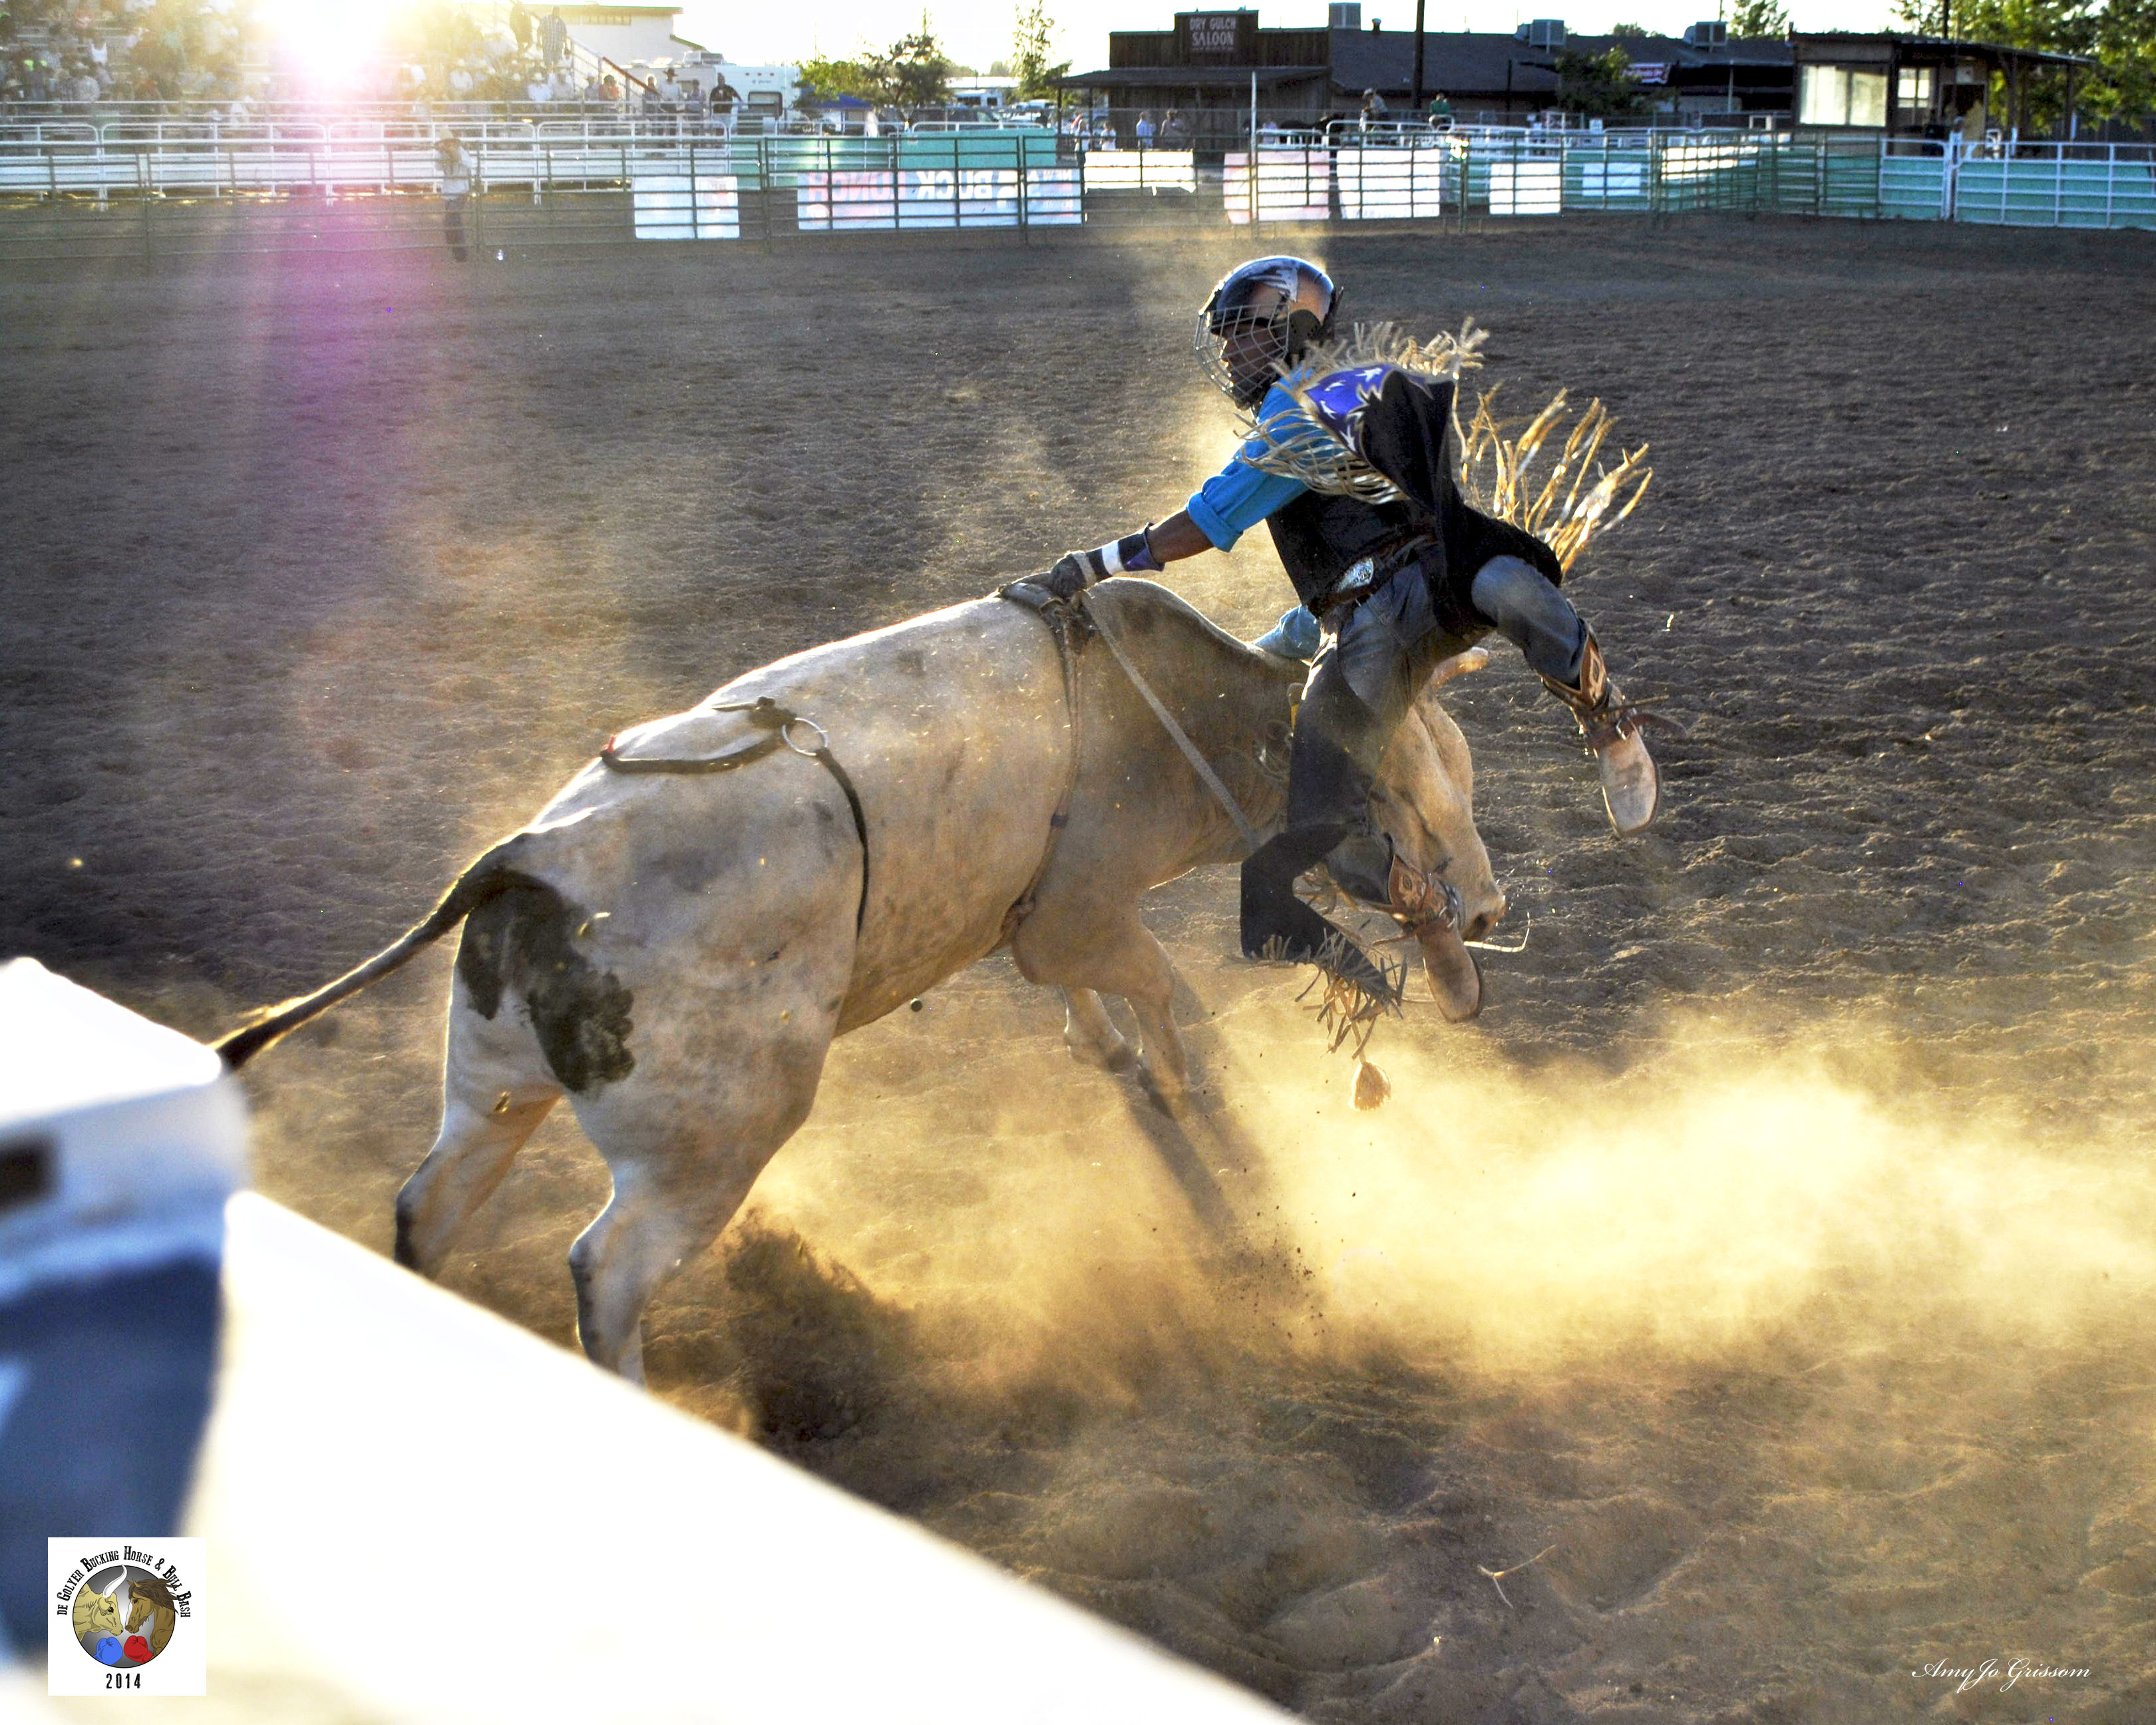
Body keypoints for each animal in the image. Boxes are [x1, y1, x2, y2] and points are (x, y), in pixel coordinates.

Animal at [217, 581, 1505, 1380]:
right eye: (1411, 793)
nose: (1485, 911)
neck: (1169, 716)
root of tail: (529, 860)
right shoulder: (1082, 914)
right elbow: (1161, 996)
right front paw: (1181, 1087)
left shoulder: (1034, 927)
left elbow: (1100, 1006)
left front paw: (1107, 1052)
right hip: (710, 1141)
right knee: (608, 1271)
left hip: (490, 1088)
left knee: (428, 1203)